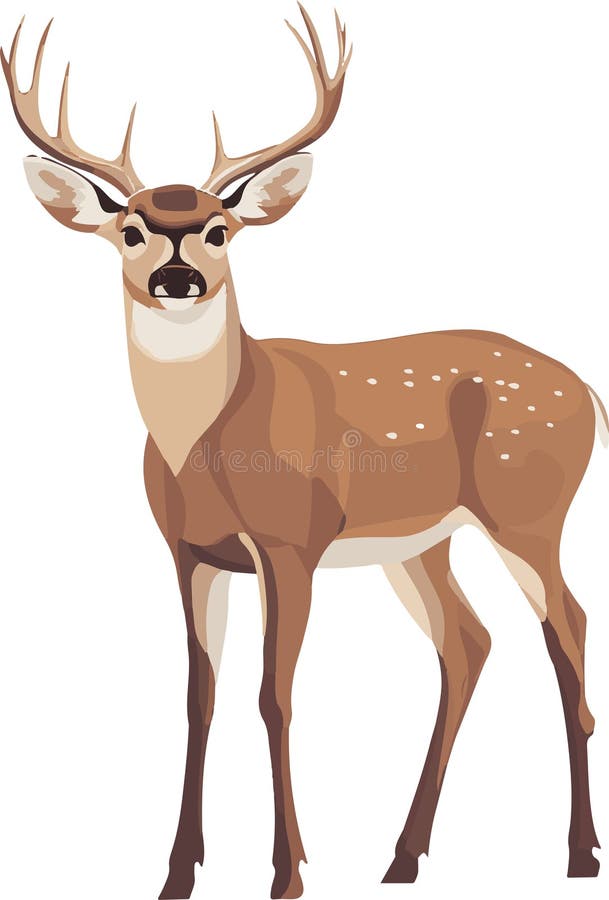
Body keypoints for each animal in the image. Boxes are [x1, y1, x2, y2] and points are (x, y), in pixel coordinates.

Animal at [1, 5, 606, 899]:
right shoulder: (188, 551)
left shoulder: (291, 540)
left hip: (528, 511)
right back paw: (401, 859)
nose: (177, 276)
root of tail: (588, 391)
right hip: (421, 543)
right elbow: (199, 697)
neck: (209, 446)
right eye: (132, 229)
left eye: (219, 230)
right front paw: (177, 874)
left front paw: (286, 872)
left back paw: (576, 853)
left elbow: (273, 696)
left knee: (566, 626)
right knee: (468, 643)